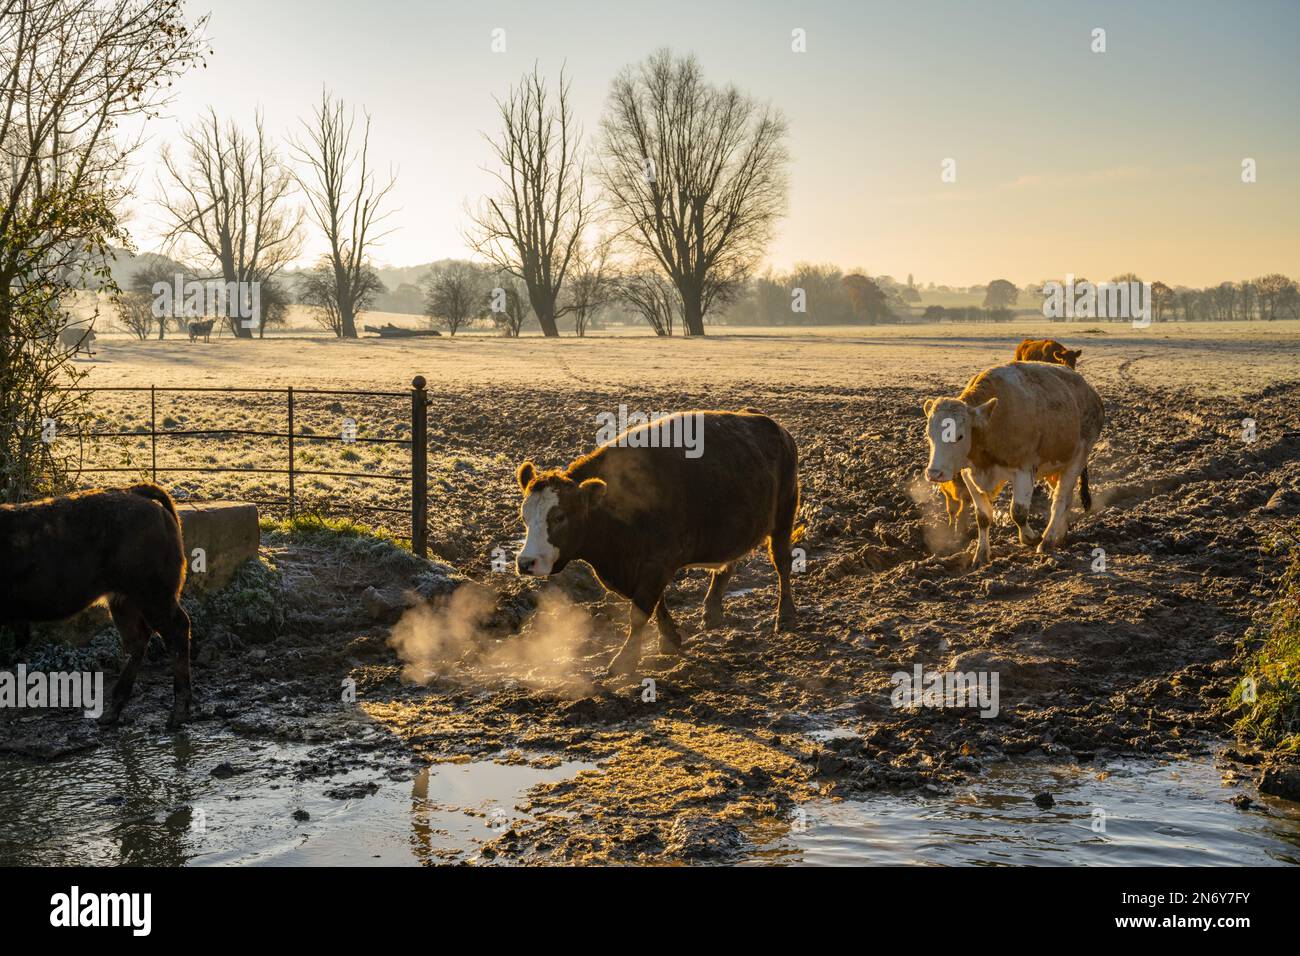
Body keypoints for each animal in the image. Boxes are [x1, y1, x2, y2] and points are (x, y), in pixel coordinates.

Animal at [0, 484, 193, 727]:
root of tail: (134, 492)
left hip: (153, 596)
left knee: (176, 631)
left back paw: (178, 713)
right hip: (124, 601)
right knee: (137, 641)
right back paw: (112, 712)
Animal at [514, 409, 801, 676]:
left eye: (559, 517)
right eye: (524, 515)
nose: (526, 563)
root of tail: (773, 426)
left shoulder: (657, 562)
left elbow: (640, 612)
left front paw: (625, 660)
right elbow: (656, 604)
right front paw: (669, 638)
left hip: (784, 515)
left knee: (782, 563)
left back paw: (785, 615)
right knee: (727, 565)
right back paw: (712, 611)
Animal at [922, 363, 1103, 564]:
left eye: (959, 436)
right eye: (929, 435)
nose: (934, 473)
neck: (992, 424)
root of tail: (1089, 392)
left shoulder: (1024, 470)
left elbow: (1018, 512)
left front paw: (1031, 538)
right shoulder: (969, 473)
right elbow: (982, 517)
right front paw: (981, 554)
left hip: (1078, 457)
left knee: (1060, 500)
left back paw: (1047, 541)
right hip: (1057, 465)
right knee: (1066, 498)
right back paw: (1059, 536)